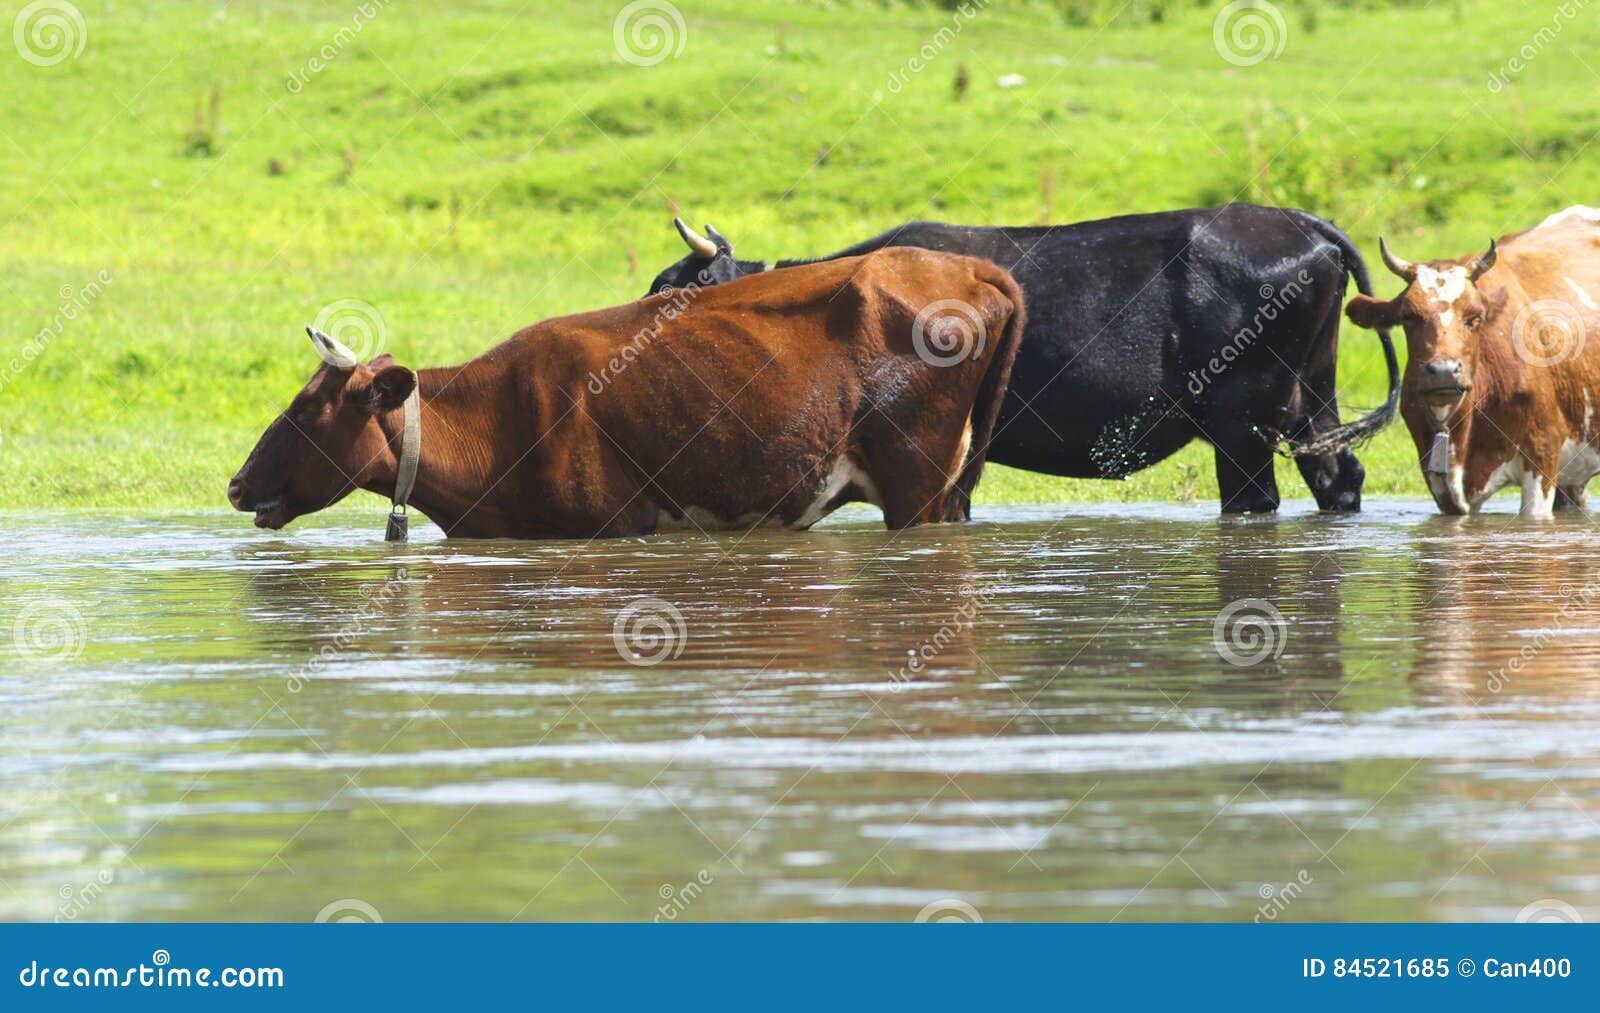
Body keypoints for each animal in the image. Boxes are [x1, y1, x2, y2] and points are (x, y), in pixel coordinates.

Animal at [648, 204, 1401, 515]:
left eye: (670, 292)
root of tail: (1301, 223)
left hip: (1240, 423)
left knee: (1254, 501)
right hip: (1308, 401)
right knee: (1337, 476)